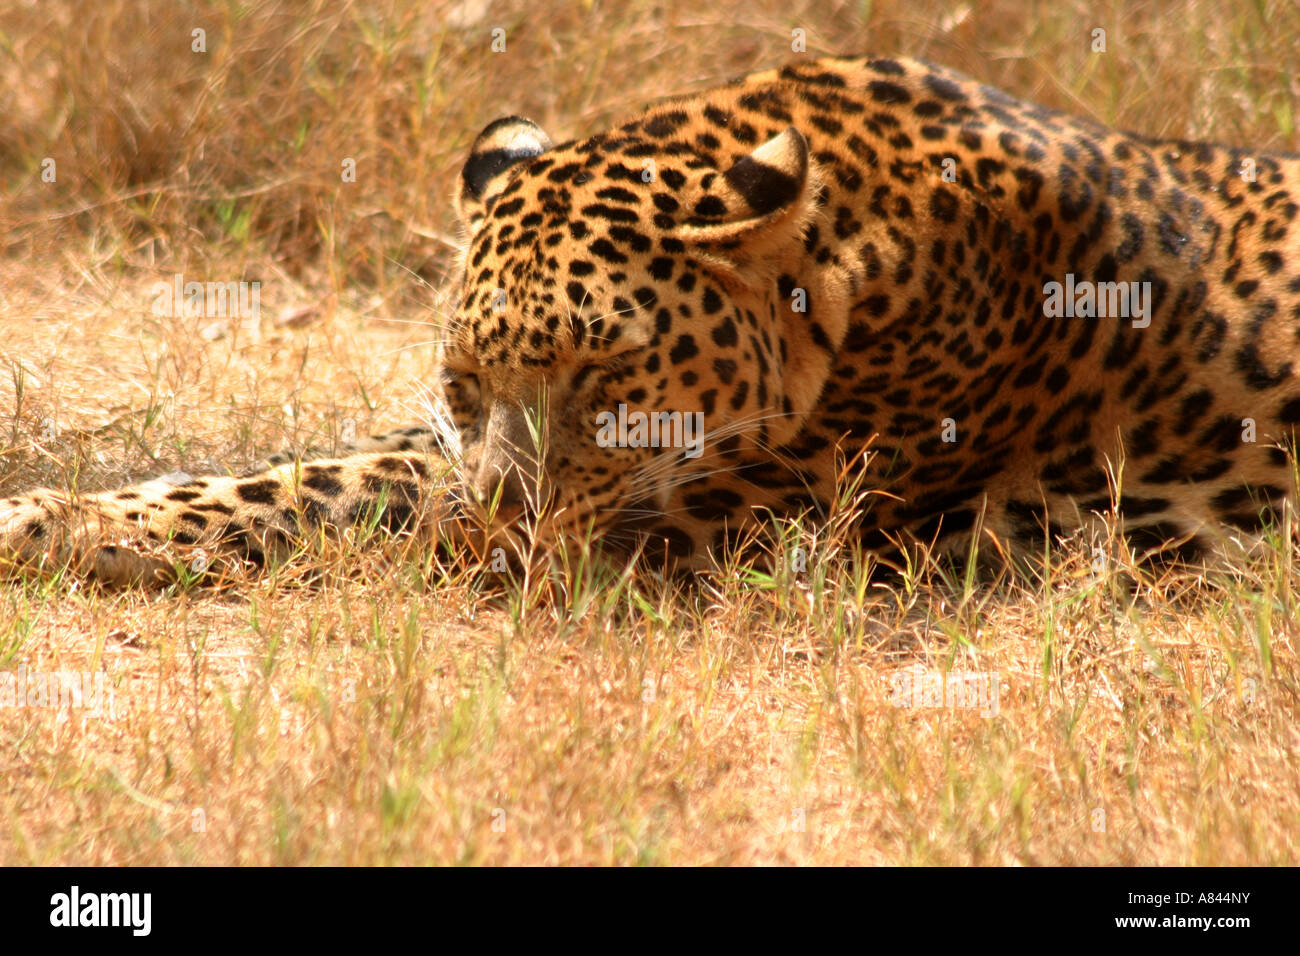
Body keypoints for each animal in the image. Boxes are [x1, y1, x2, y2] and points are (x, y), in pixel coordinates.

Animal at [4, 55, 1300, 587]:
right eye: (466, 382)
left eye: (608, 379)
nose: (502, 531)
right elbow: (318, 467)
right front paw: (65, 513)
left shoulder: (743, 507)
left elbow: (366, 489)